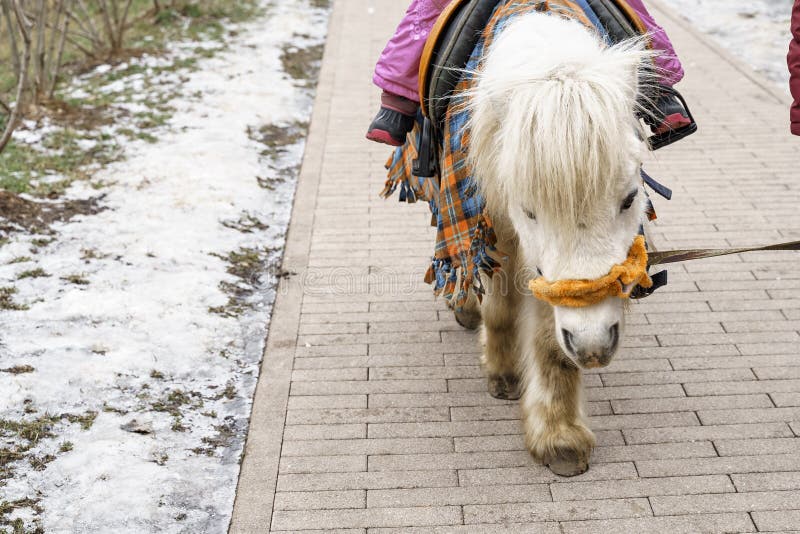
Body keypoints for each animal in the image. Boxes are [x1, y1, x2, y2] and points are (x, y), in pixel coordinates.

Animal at [463, 10, 654, 476]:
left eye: (629, 198)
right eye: (529, 210)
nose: (593, 346)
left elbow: (551, 343)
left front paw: (559, 436)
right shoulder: (496, 224)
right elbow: (498, 306)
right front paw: (502, 372)